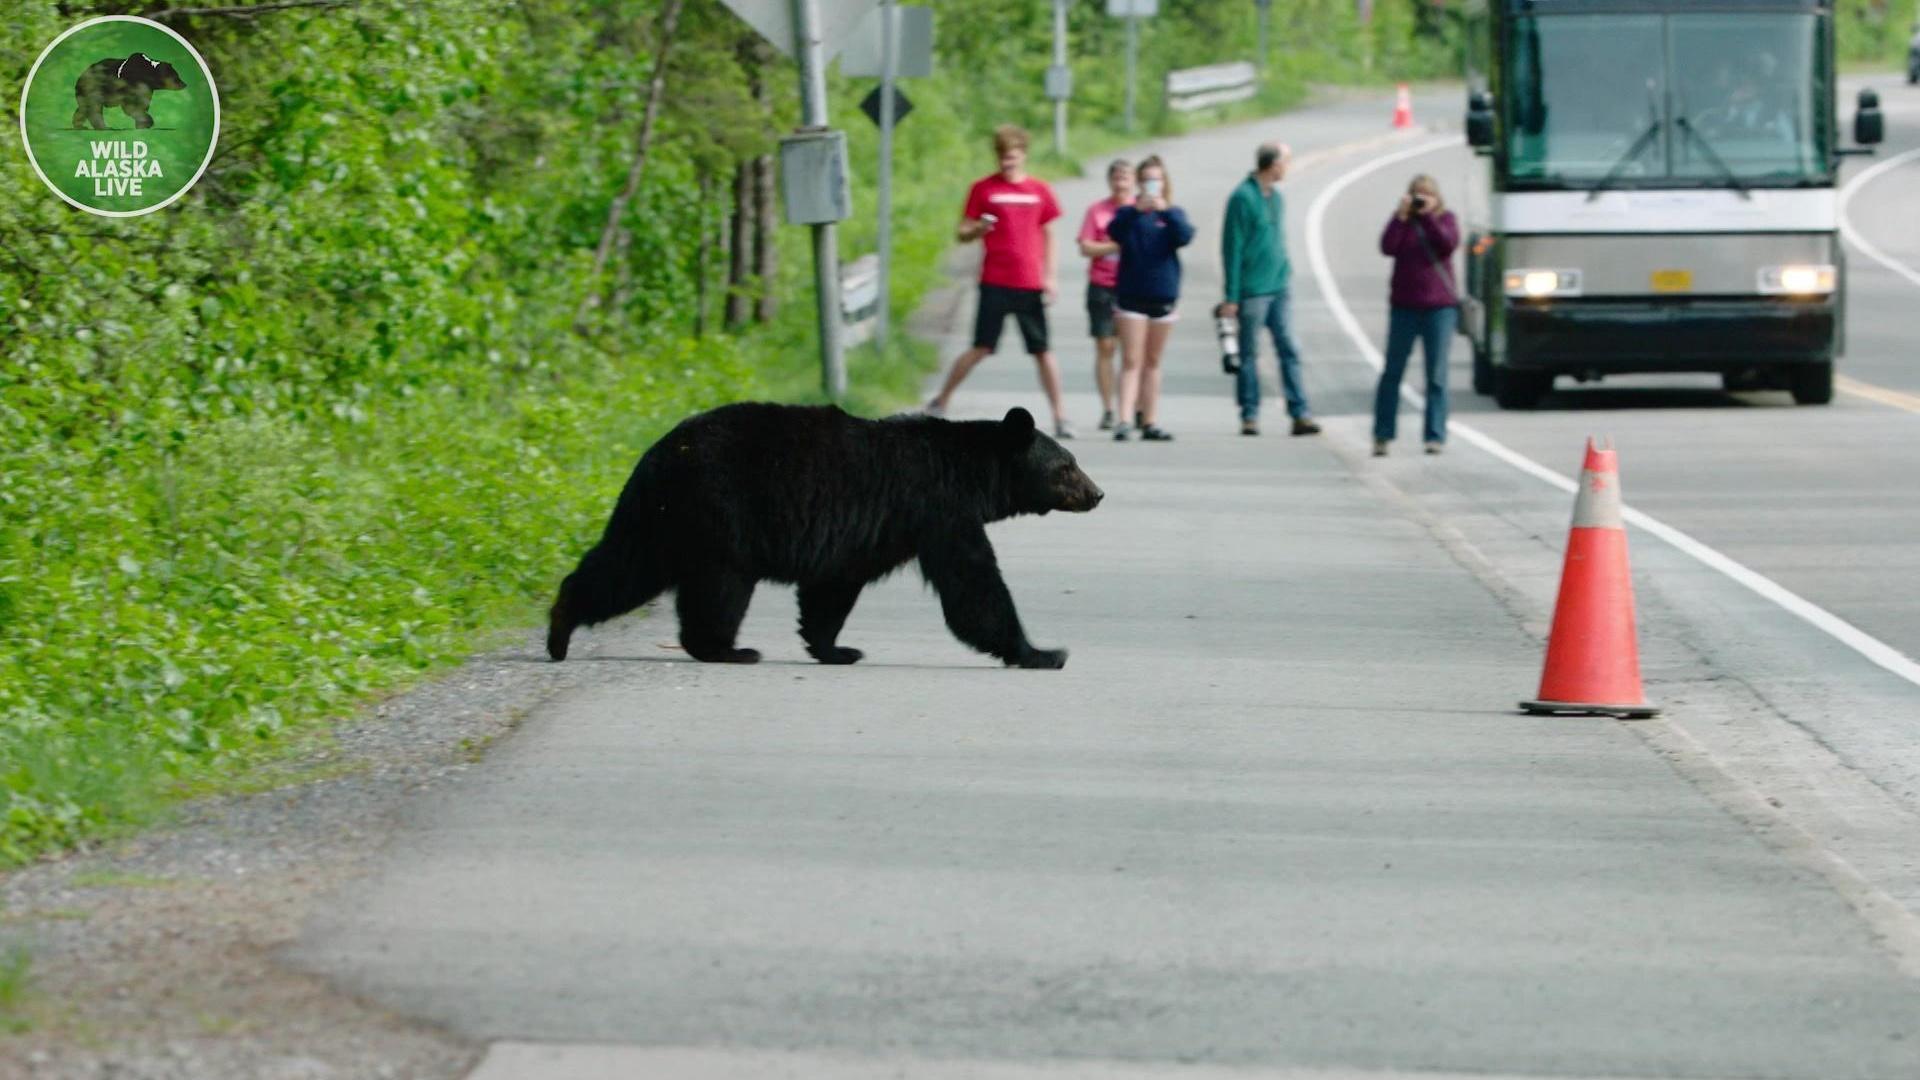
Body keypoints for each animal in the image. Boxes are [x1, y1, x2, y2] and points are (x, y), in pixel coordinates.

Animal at [546, 403, 1103, 669]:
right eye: (1067, 466)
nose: (1097, 493)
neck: (971, 470)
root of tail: (659, 453)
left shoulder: (867, 532)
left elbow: (833, 588)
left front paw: (835, 648)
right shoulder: (939, 509)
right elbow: (974, 587)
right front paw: (1042, 652)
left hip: (661, 519)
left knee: (625, 565)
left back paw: (560, 626)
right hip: (719, 516)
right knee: (716, 588)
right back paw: (728, 649)